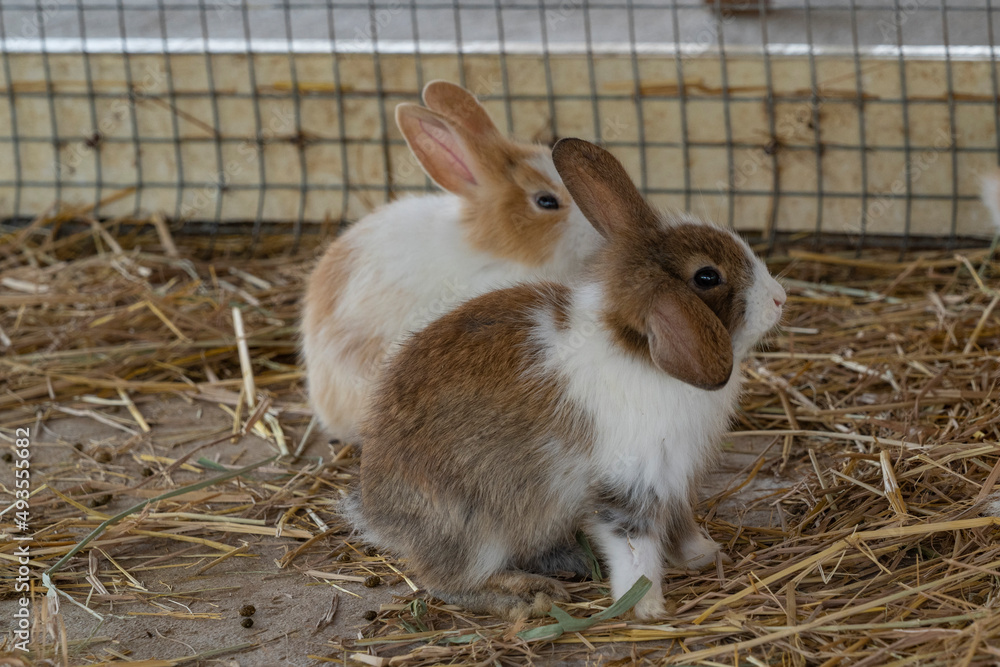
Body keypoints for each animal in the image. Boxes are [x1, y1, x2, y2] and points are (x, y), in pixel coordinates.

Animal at [344, 138, 787, 622]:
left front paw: (703, 554)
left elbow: (679, 523)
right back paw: (529, 594)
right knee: (449, 582)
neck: (640, 351)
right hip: (477, 532)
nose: (780, 298)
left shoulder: (674, 480)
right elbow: (635, 547)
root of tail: (380, 517)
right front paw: (647, 607)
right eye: (707, 276)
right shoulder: (628, 484)